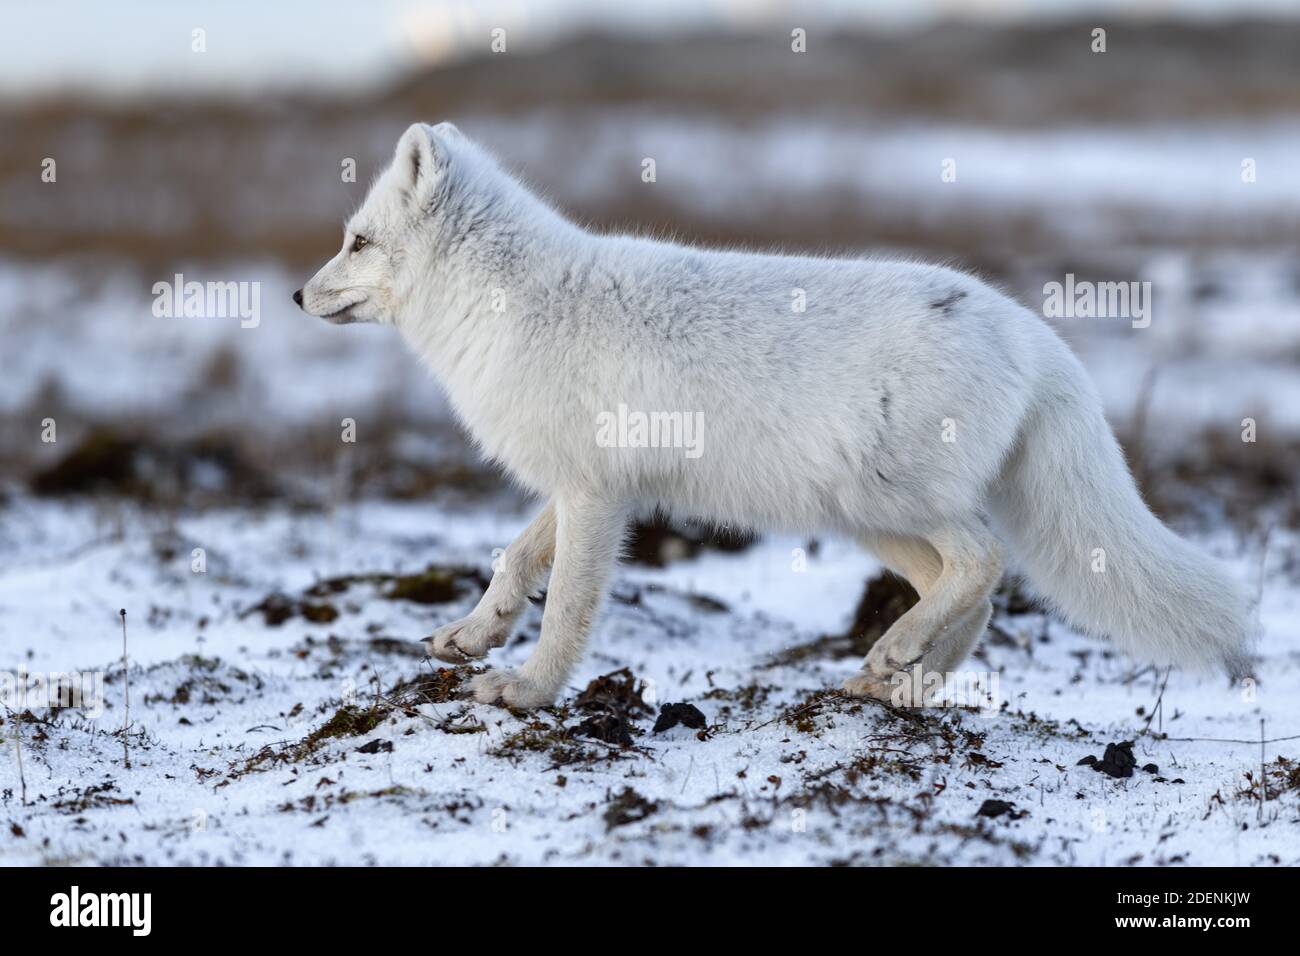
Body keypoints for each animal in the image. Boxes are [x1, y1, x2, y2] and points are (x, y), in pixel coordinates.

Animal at [294, 122, 1253, 709]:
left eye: (356, 242)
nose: (299, 296)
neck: (510, 303)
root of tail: (1029, 329)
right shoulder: (579, 485)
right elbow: (513, 562)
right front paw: (470, 635)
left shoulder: (599, 493)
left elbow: (564, 604)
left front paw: (528, 692)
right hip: (873, 520)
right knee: (973, 594)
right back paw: (897, 678)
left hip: (893, 499)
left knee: (984, 562)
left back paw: (897, 659)